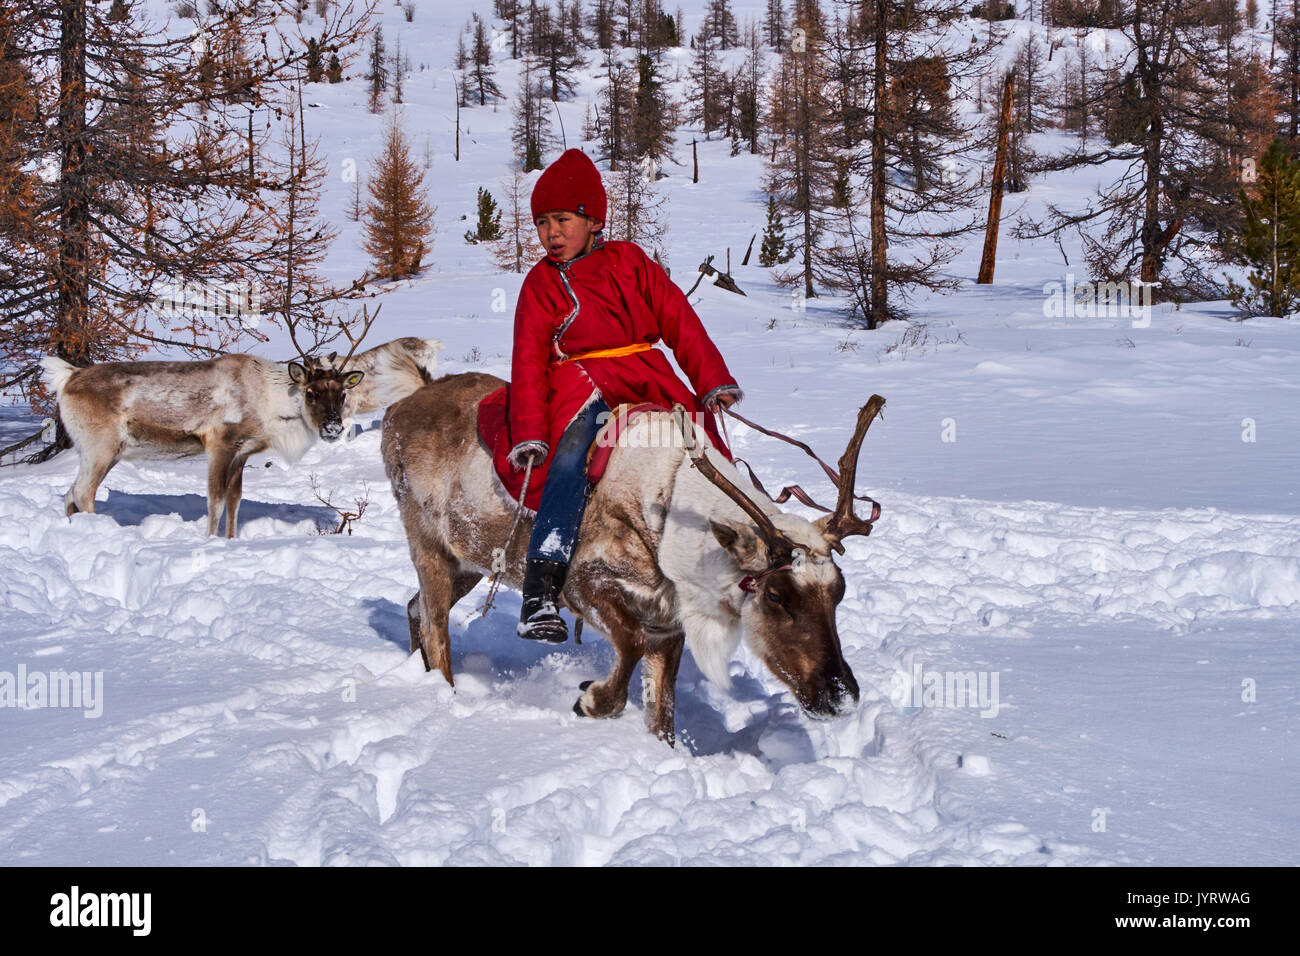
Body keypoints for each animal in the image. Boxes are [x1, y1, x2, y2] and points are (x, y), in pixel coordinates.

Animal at [41, 309, 441, 538]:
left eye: (342, 393)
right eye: (311, 392)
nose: (331, 428)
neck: (270, 405)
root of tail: (68, 377)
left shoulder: (242, 452)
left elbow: (235, 502)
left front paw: (231, 541)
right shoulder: (219, 442)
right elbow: (216, 502)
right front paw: (209, 541)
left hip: (96, 449)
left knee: (70, 493)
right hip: (101, 445)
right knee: (82, 492)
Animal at [381, 371, 884, 745]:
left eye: (840, 591)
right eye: (776, 595)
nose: (839, 696)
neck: (669, 520)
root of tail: (395, 411)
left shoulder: (667, 622)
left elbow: (662, 714)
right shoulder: (583, 585)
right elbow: (629, 643)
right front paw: (590, 698)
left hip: (467, 561)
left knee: (414, 607)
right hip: (428, 544)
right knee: (436, 628)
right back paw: (442, 694)